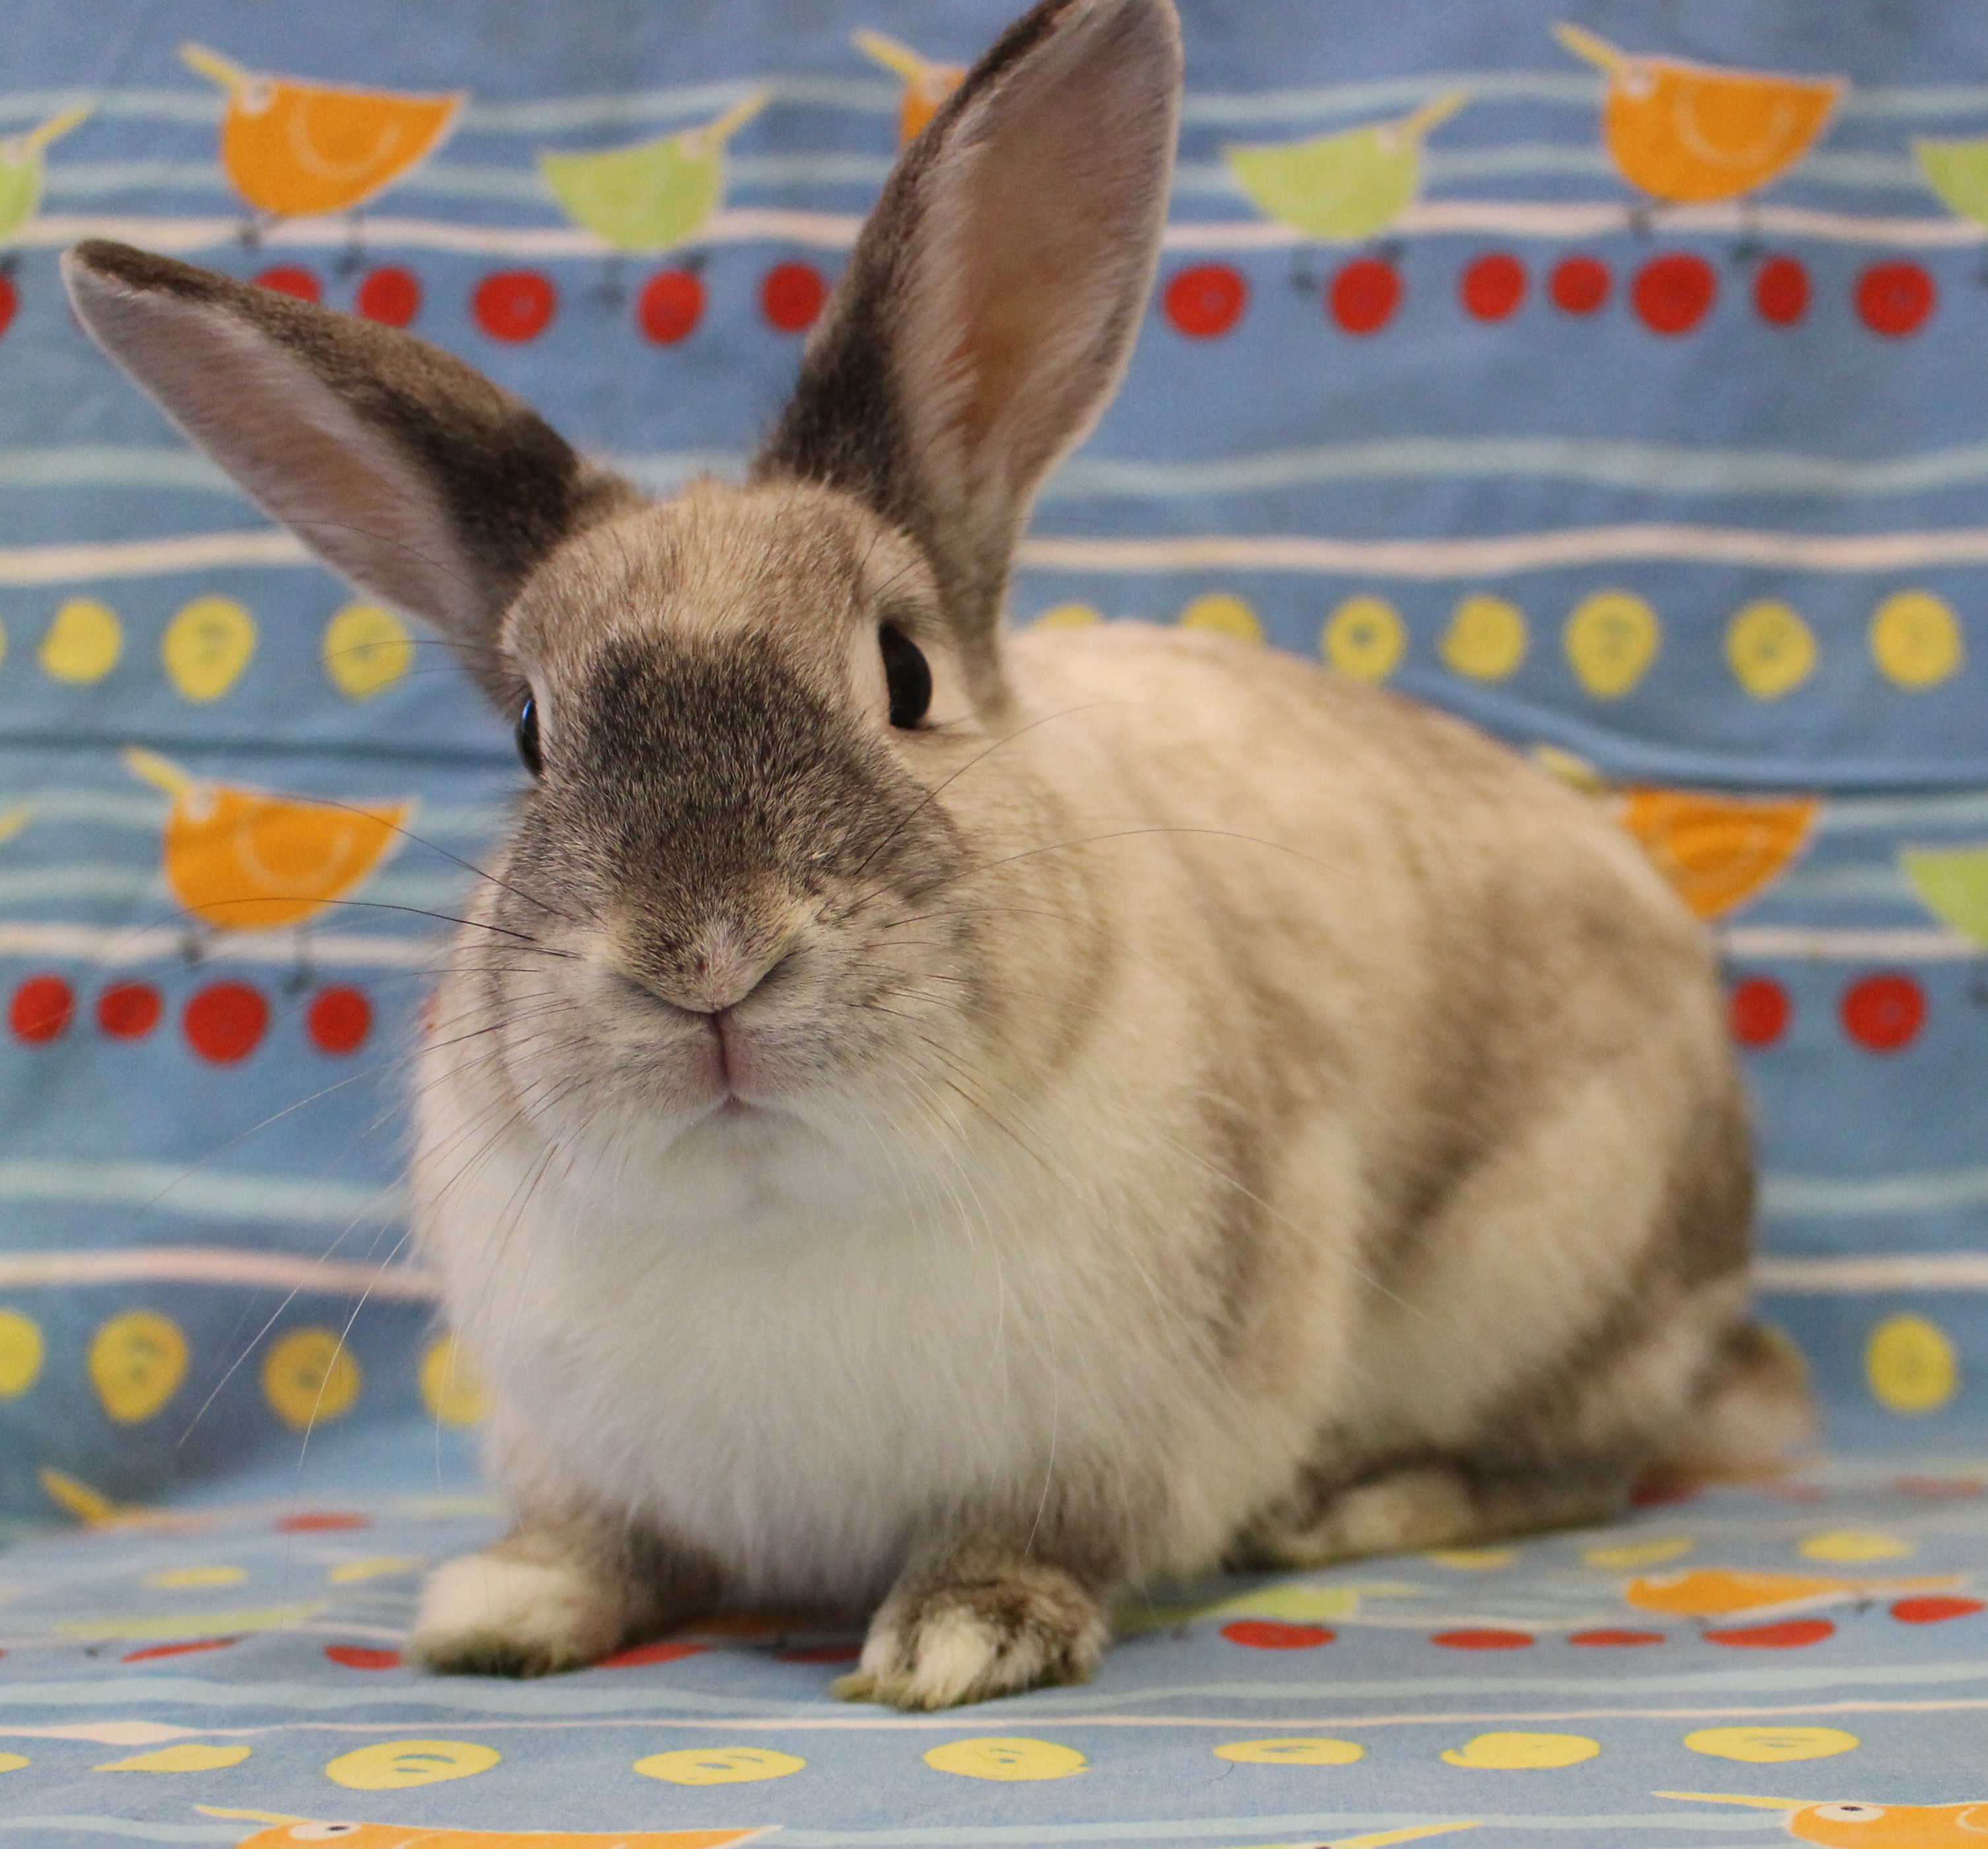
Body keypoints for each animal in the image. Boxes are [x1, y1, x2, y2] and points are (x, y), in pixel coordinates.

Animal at [63, 0, 1811, 1712]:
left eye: (903, 674)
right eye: (531, 736)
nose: (706, 959)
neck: (777, 1205)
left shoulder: (1118, 1439)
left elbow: (1029, 1538)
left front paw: (961, 1636)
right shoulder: (585, 1446)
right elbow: (601, 1539)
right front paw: (500, 1607)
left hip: (1560, 1273)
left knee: (1582, 1462)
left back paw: (1358, 1505)